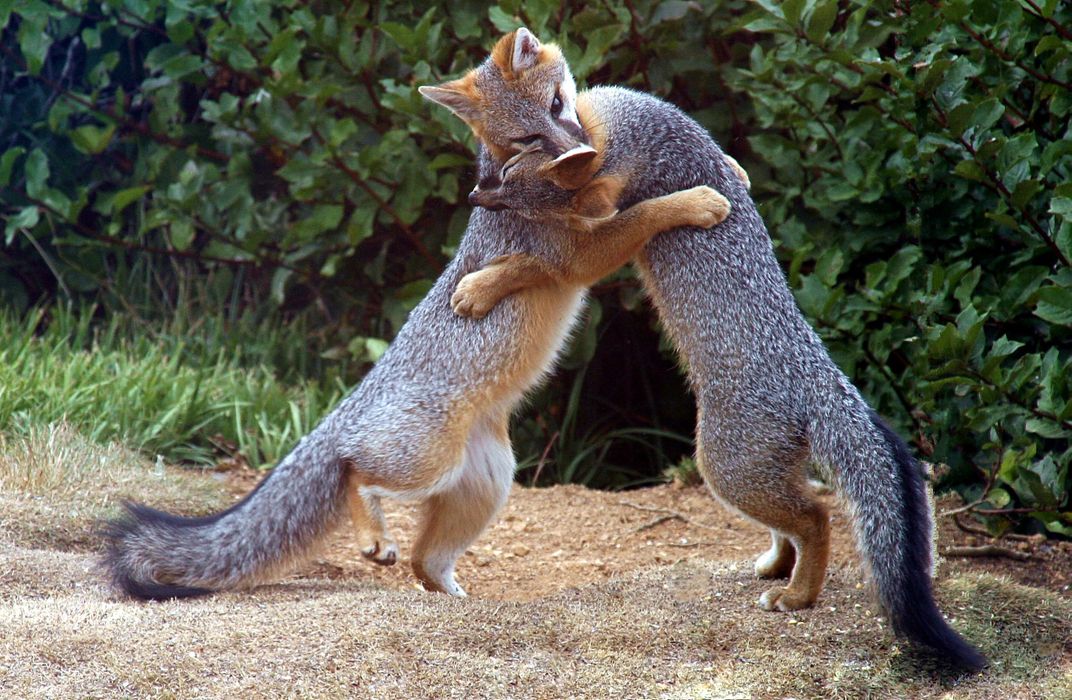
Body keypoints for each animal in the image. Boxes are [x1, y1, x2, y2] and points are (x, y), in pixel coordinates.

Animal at [101, 142, 730, 598]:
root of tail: (347, 408)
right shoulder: (575, 254)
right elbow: (642, 214)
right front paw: (698, 200)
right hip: (425, 462)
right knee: (354, 472)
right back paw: (374, 536)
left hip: (486, 482)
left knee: (427, 562)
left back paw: (453, 599)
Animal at [420, 28, 987, 670]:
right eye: (503, 160)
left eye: (513, 188)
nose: (474, 196)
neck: (625, 125)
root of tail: (816, 373)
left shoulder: (594, 232)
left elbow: (555, 256)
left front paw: (482, 285)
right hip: (760, 473)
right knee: (801, 512)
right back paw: (778, 568)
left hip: (721, 467)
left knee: (817, 516)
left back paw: (798, 596)